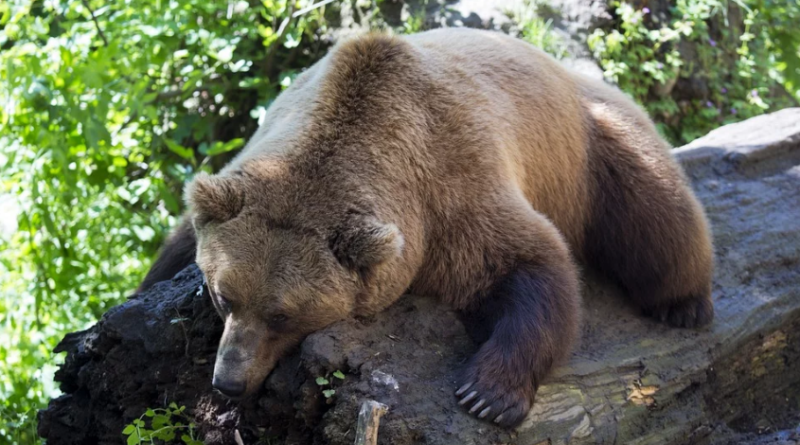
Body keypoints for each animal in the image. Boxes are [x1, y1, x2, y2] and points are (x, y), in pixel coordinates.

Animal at [138, 28, 714, 427]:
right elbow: (175, 249)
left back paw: (685, 305)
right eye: (222, 296)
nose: (229, 382)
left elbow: (532, 263)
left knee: (658, 218)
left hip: (594, 147)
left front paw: (488, 394)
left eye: (283, 314)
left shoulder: (451, 191)